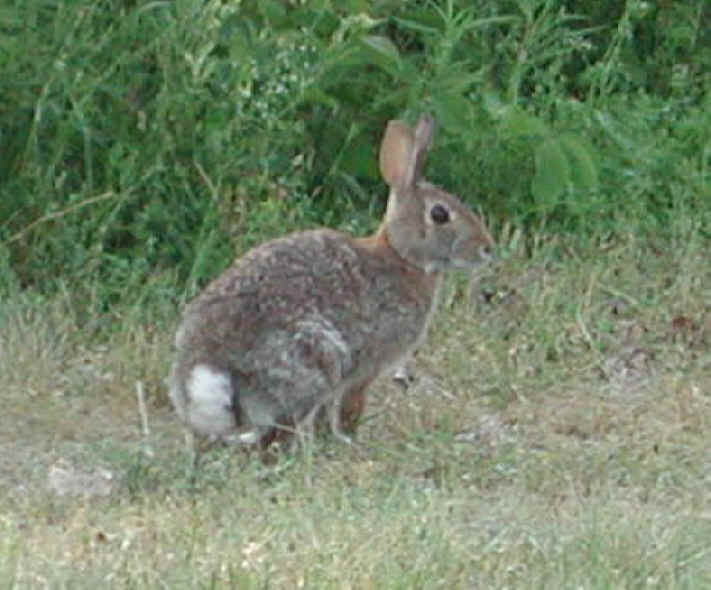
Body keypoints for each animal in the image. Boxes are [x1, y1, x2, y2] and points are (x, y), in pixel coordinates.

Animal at [169, 113, 494, 456]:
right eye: (440, 214)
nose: (487, 248)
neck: (401, 254)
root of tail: (207, 364)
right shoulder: (366, 367)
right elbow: (351, 407)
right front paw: (350, 439)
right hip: (315, 360)